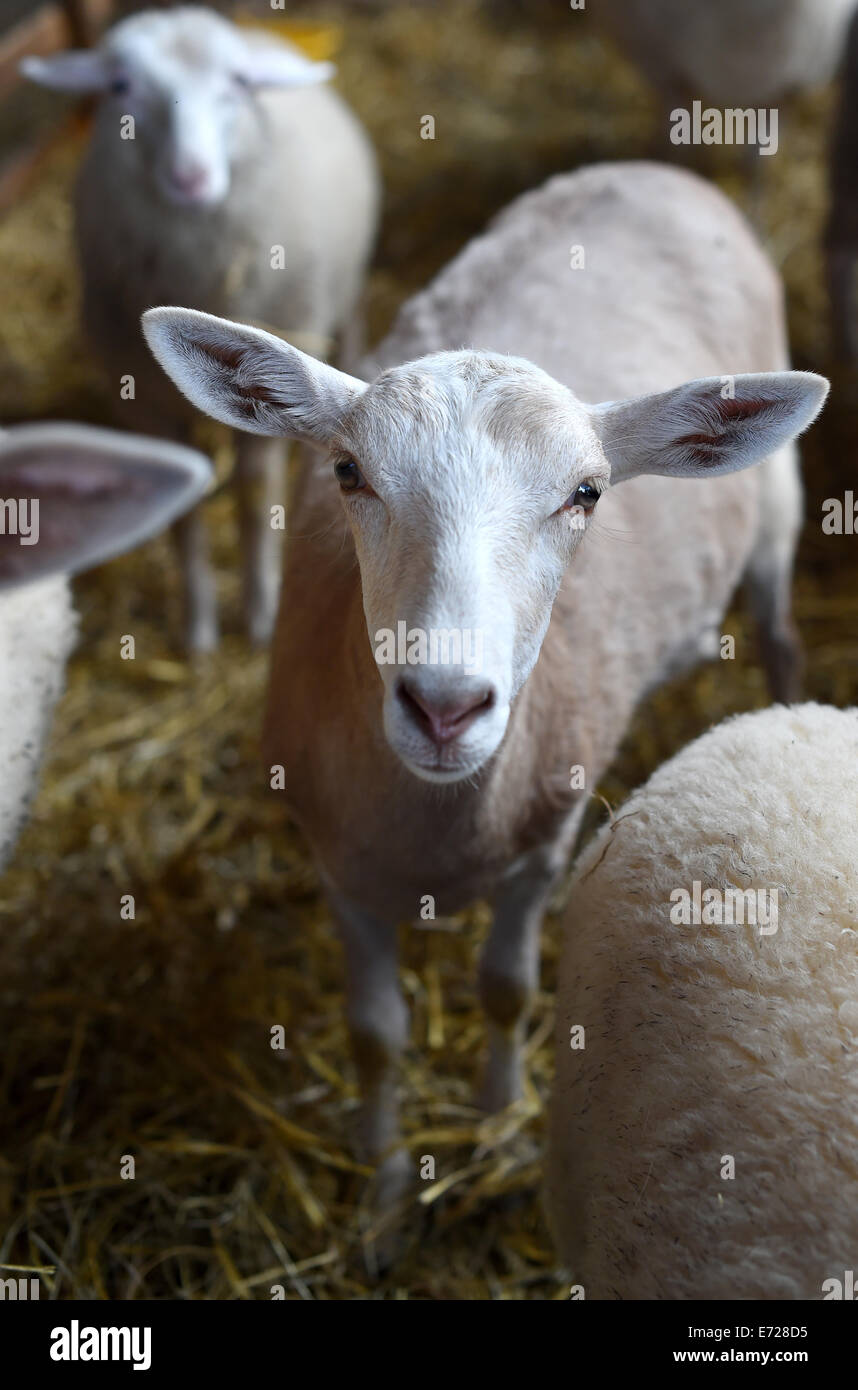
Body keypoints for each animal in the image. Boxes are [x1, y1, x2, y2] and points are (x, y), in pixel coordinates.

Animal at [22, 6, 379, 652]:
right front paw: (199, 626)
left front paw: (261, 613)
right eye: (120, 86)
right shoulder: (146, 401)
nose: (191, 179)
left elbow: (253, 495)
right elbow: (183, 518)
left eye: (237, 84)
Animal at [142, 161, 828, 1218]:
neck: (439, 823)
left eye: (587, 493)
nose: (445, 706)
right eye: (347, 470)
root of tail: (655, 169)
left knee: (783, 629)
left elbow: (506, 988)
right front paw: (383, 1187)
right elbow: (375, 1036)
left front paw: (497, 1117)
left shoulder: (548, 839)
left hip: (779, 509)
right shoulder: (341, 867)